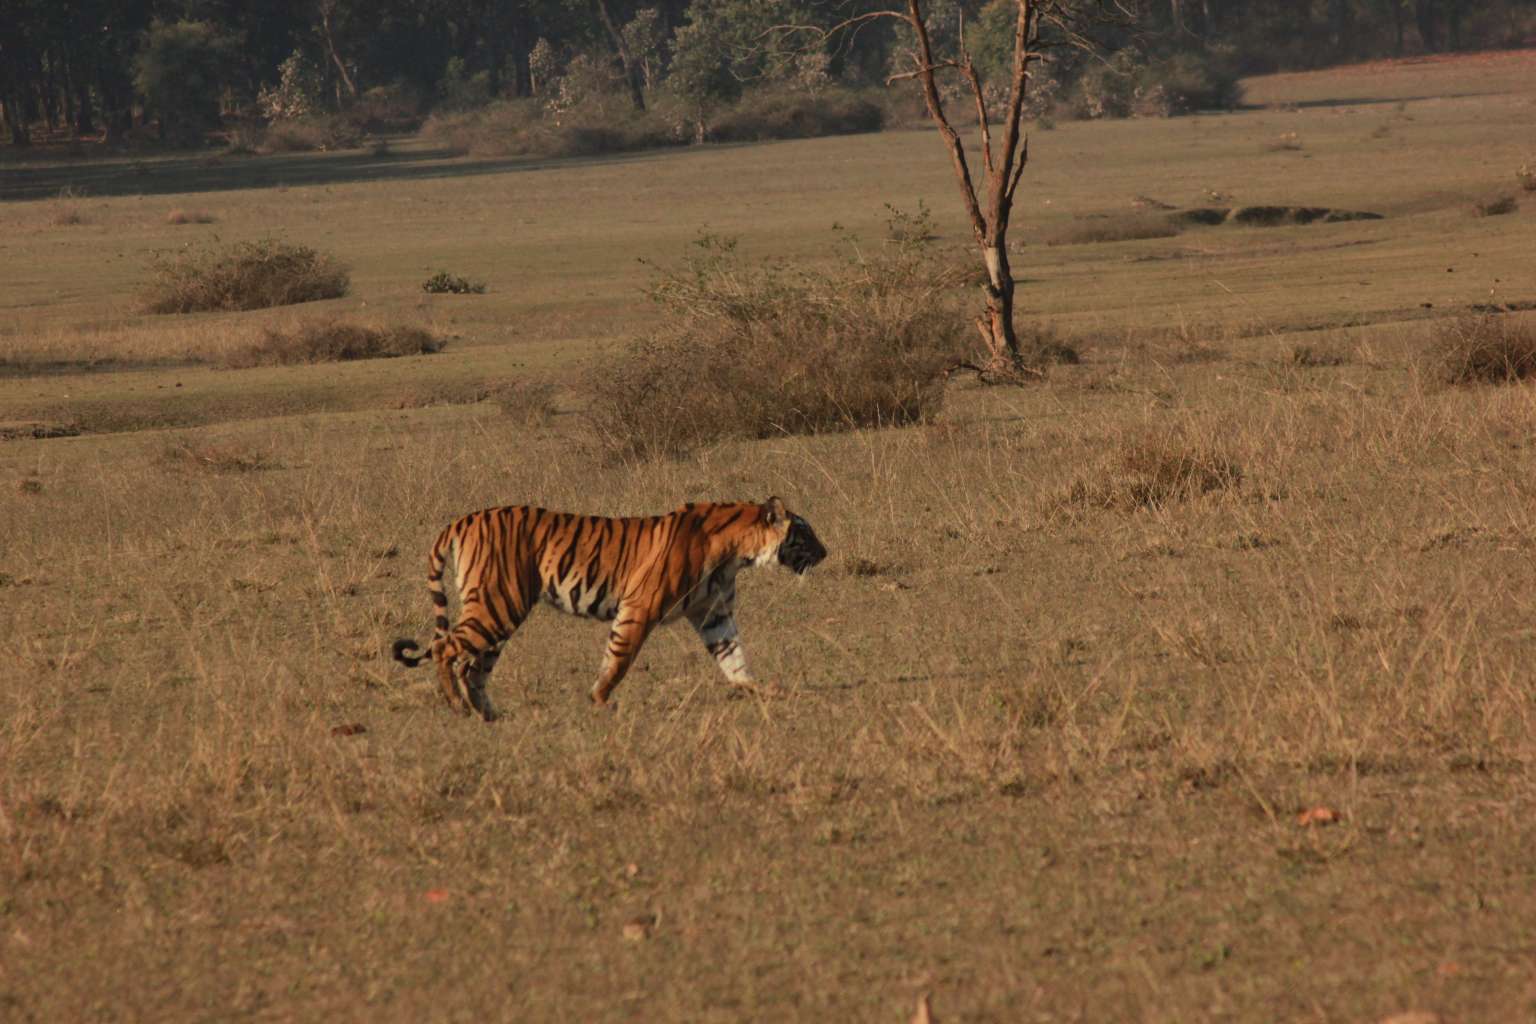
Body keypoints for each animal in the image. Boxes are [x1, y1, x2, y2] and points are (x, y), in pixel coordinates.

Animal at [391, 497, 827, 719]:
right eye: (805, 532)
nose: (826, 552)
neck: (738, 553)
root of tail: (462, 520)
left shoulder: (713, 614)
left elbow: (733, 657)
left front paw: (759, 690)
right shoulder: (641, 606)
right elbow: (619, 657)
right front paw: (600, 698)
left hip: (496, 609)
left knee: (473, 665)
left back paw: (487, 713)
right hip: (499, 603)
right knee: (447, 648)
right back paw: (457, 705)